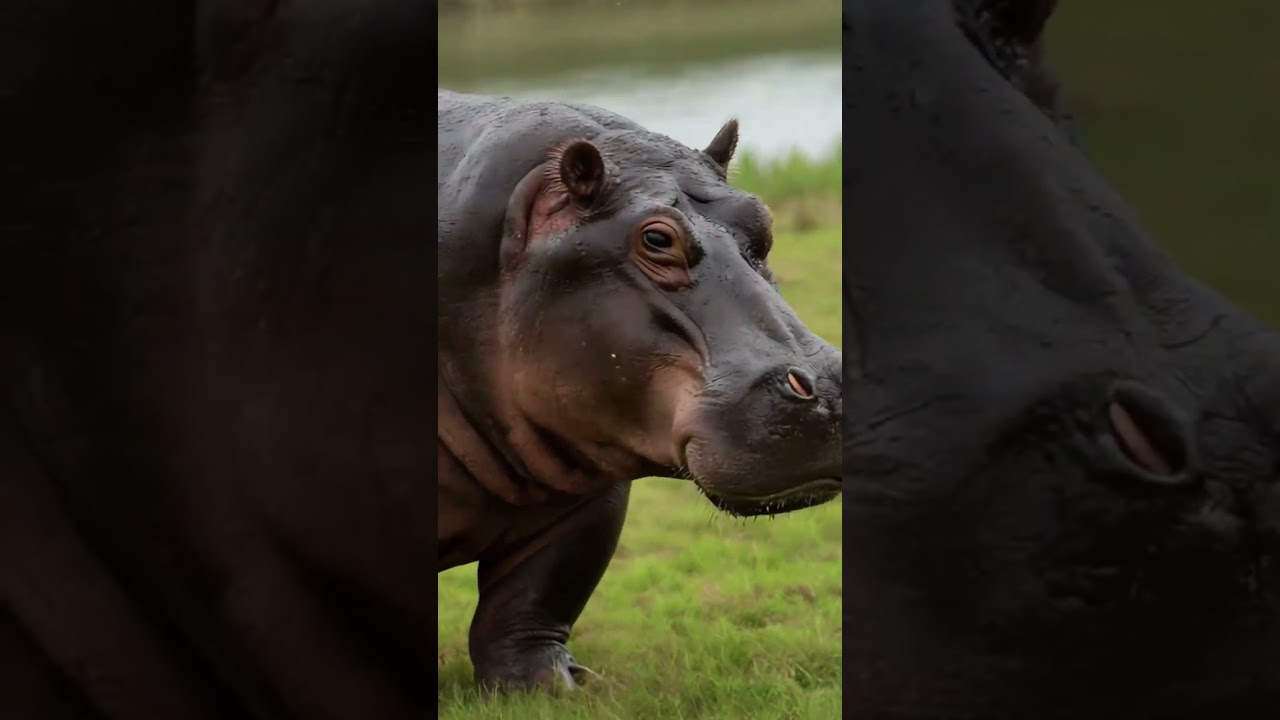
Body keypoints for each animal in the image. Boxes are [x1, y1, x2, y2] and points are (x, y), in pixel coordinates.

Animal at [437, 89, 843, 688]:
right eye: (656, 238)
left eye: (762, 219)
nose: (832, 393)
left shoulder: (585, 479)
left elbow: (532, 599)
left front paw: (559, 690)